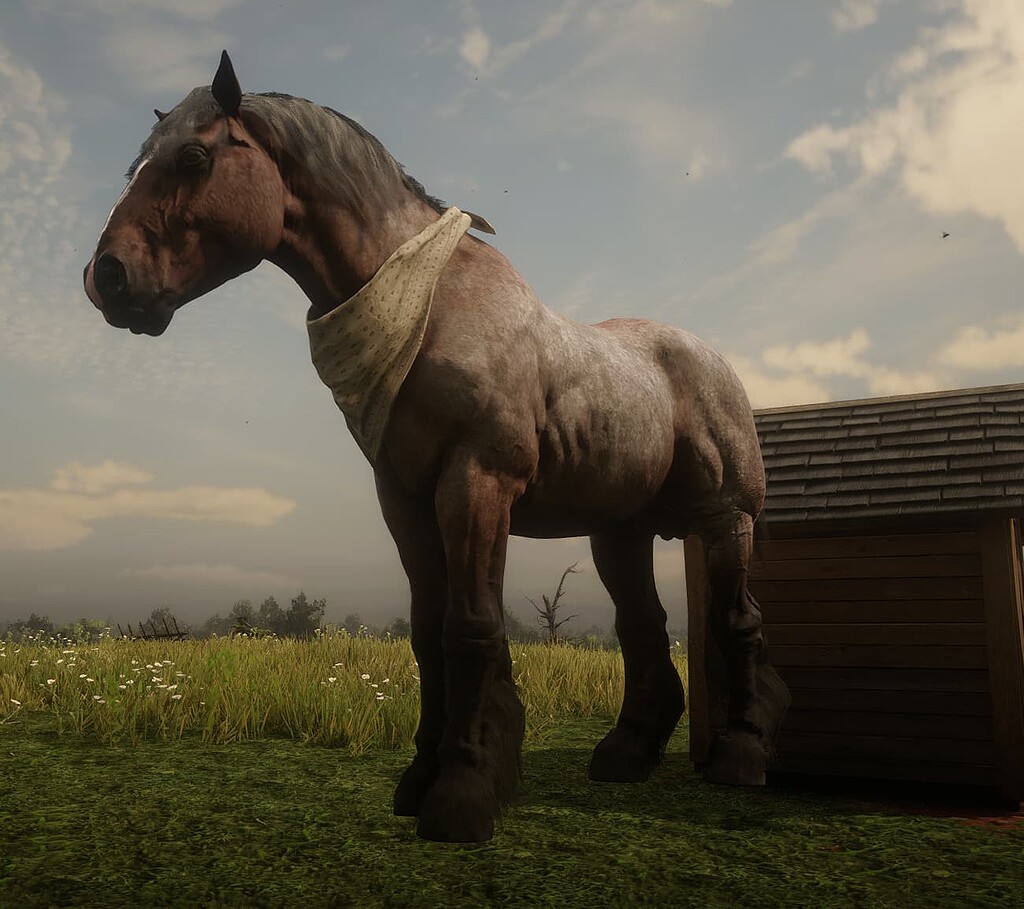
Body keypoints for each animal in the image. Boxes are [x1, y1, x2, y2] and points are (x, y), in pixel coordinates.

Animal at [84, 51, 791, 842]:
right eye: (139, 163)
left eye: (194, 156)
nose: (106, 277)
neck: (431, 311)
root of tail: (717, 366)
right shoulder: (406, 498)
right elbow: (426, 633)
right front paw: (421, 776)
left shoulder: (477, 482)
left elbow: (470, 628)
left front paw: (463, 790)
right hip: (620, 532)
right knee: (643, 627)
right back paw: (627, 751)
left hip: (725, 517)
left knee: (737, 621)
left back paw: (741, 753)